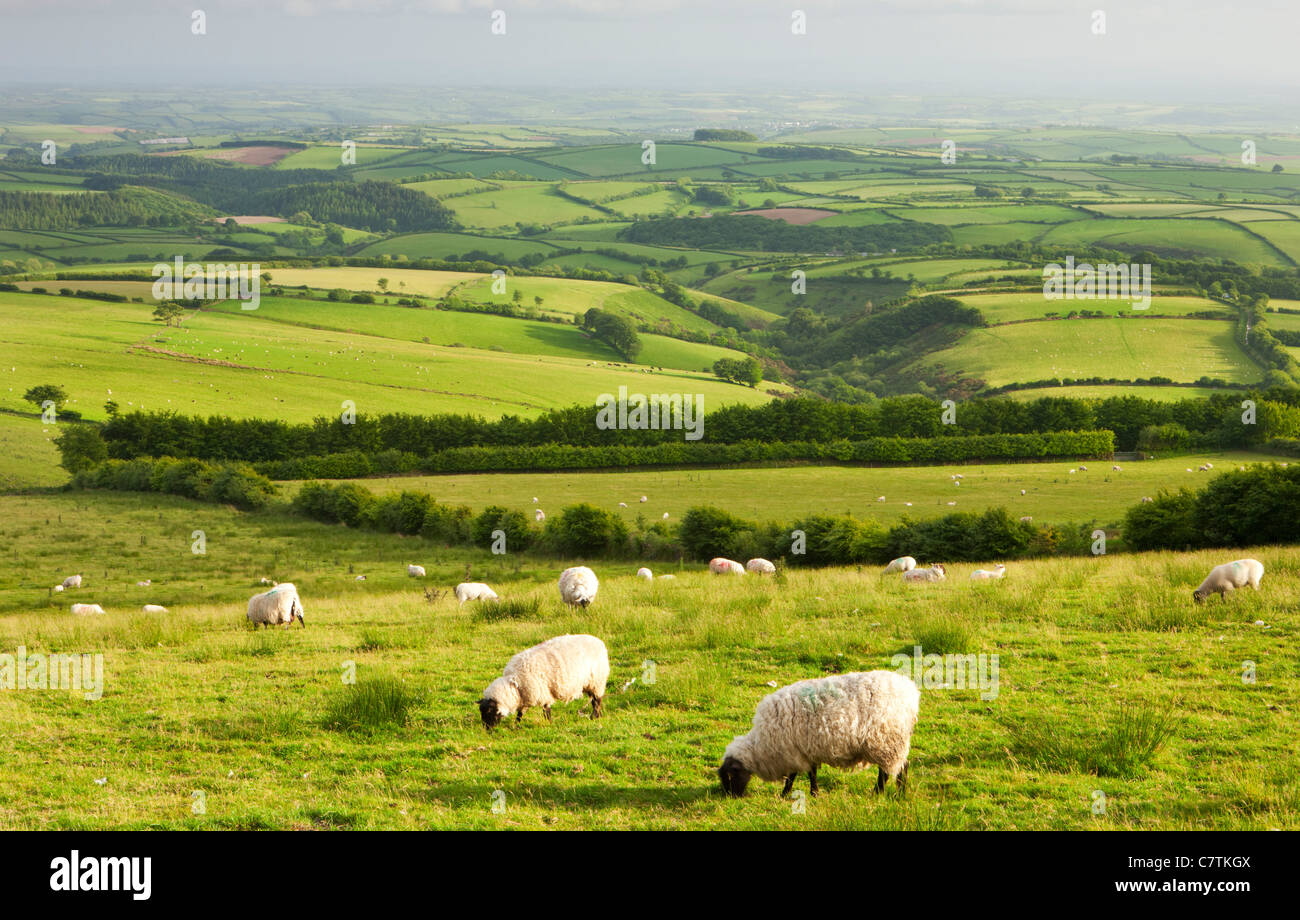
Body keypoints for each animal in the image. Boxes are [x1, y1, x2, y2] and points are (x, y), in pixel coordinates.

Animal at [478, 631, 608, 727]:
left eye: (489, 711)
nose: (487, 729)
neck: (515, 683)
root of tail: (599, 642)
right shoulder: (526, 697)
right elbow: (521, 712)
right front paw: (516, 724)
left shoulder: (544, 693)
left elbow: (546, 710)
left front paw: (549, 723)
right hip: (590, 684)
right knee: (594, 700)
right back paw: (597, 716)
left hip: (597, 681)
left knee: (597, 701)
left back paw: (594, 716)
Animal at [717, 670, 920, 795]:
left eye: (731, 776)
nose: (731, 798)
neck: (760, 747)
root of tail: (911, 693)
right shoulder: (806, 750)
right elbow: (810, 773)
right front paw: (811, 793)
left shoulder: (794, 752)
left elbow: (796, 776)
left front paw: (788, 794)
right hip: (894, 742)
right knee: (903, 766)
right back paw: (900, 793)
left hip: (885, 741)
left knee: (887, 772)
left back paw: (877, 793)